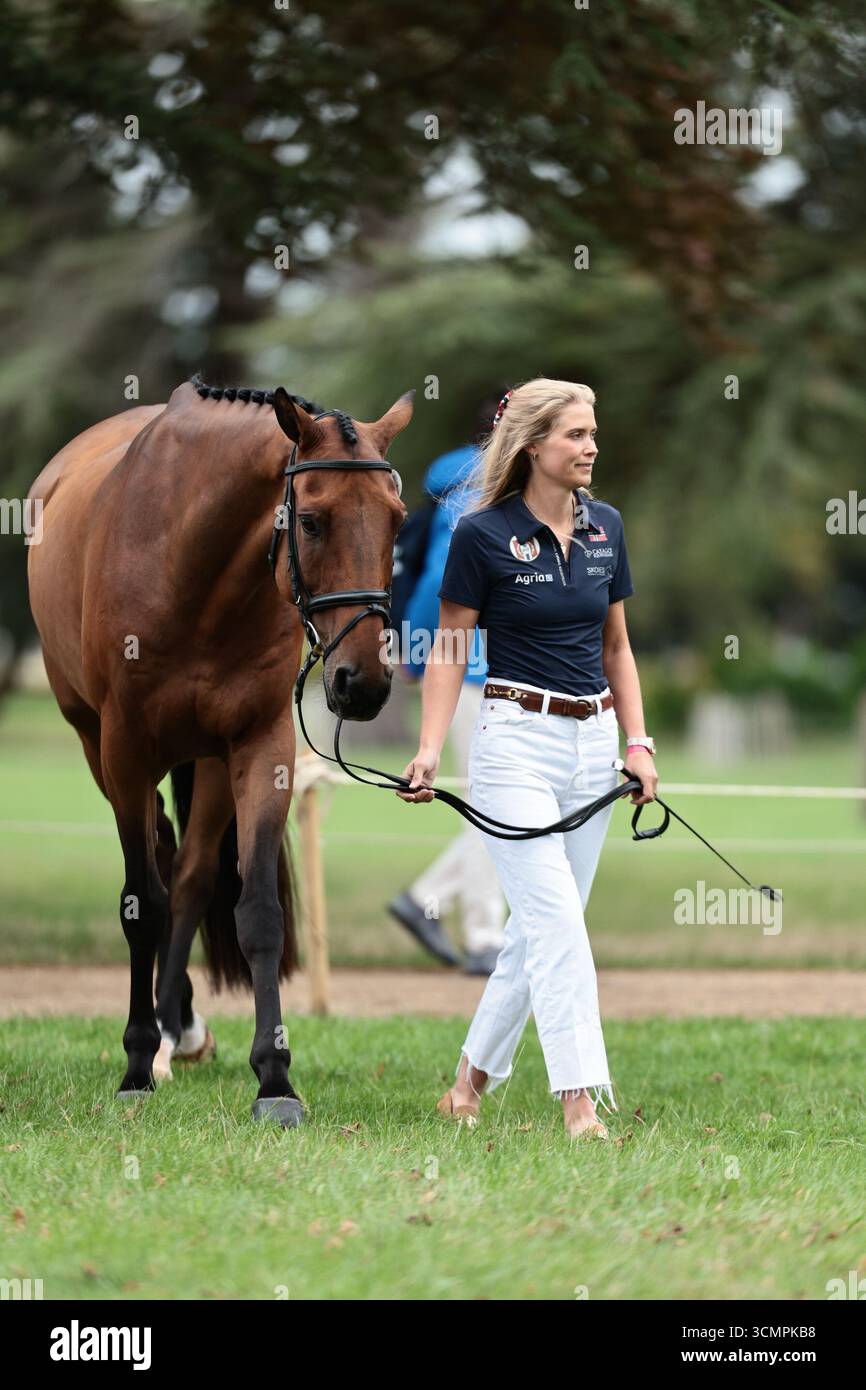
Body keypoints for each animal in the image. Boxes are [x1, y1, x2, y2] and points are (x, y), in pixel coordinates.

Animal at [26, 376, 411, 1125]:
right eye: (312, 520)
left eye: (398, 520)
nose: (363, 683)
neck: (191, 568)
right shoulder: (124, 751)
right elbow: (139, 905)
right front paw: (136, 1065)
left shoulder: (259, 747)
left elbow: (256, 910)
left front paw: (276, 1080)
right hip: (98, 748)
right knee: (159, 860)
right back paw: (159, 1040)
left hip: (204, 762)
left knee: (190, 872)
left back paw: (179, 1026)